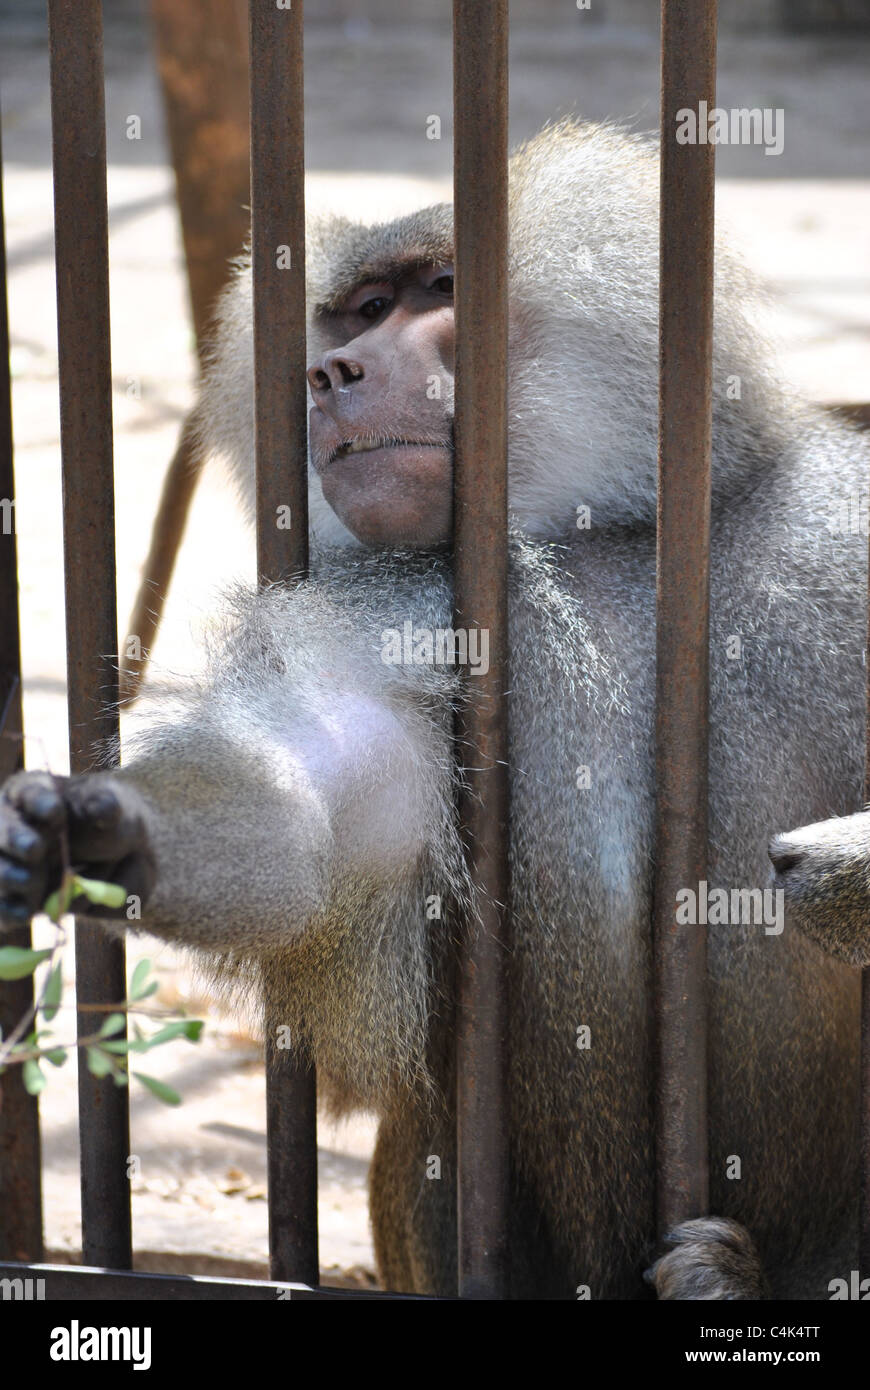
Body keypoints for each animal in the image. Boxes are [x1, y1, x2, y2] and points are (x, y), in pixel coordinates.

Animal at [1, 119, 868, 1299]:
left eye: (435, 292)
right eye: (362, 310)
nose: (330, 373)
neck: (608, 542)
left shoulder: (834, 545)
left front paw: (846, 876)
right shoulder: (410, 618)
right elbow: (316, 802)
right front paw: (95, 832)